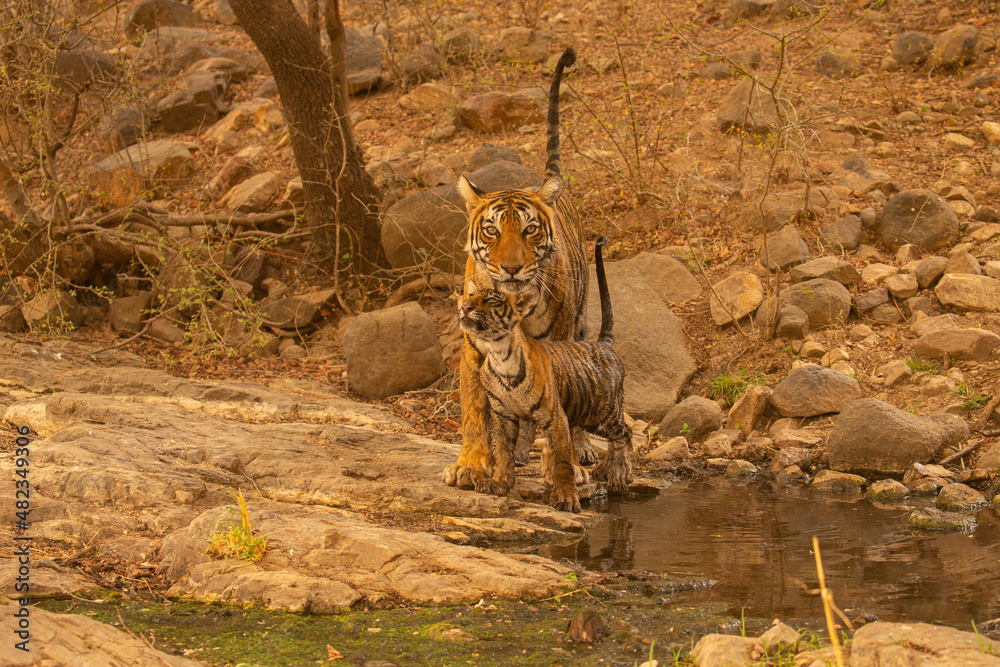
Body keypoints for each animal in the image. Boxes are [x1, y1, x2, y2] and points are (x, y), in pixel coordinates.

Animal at [443, 46, 599, 493]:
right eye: (492, 230)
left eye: (530, 230)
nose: (511, 268)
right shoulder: (473, 349)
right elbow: (475, 408)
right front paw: (471, 465)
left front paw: (565, 466)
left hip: (581, 323)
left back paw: (579, 450)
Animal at [457, 237, 633, 513]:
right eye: (472, 296)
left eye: (493, 302)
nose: (464, 306)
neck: (498, 352)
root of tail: (604, 343)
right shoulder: (503, 415)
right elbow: (503, 453)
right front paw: (499, 483)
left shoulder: (556, 417)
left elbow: (562, 462)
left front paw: (566, 498)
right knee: (621, 437)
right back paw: (605, 471)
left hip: (602, 413)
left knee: (625, 434)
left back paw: (617, 475)